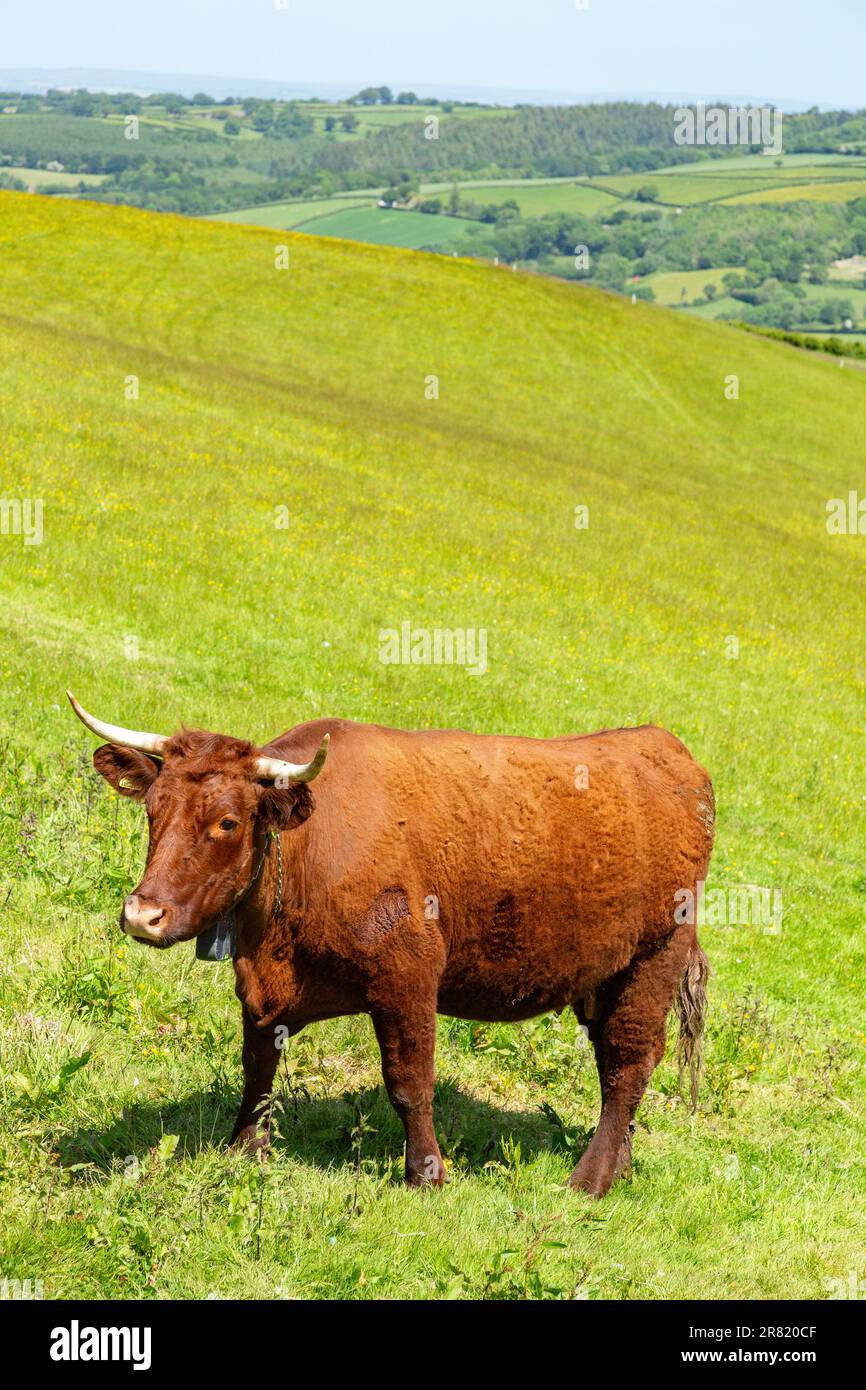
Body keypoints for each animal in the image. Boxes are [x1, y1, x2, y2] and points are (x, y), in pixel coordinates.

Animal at [67, 691, 713, 1198]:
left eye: (227, 821)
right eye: (153, 810)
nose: (143, 915)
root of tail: (665, 748)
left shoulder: (408, 978)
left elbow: (409, 1081)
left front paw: (426, 1174)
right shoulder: (261, 990)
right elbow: (257, 1069)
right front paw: (244, 1149)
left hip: (656, 956)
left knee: (627, 1064)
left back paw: (589, 1180)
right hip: (605, 976)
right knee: (621, 1063)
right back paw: (620, 1166)